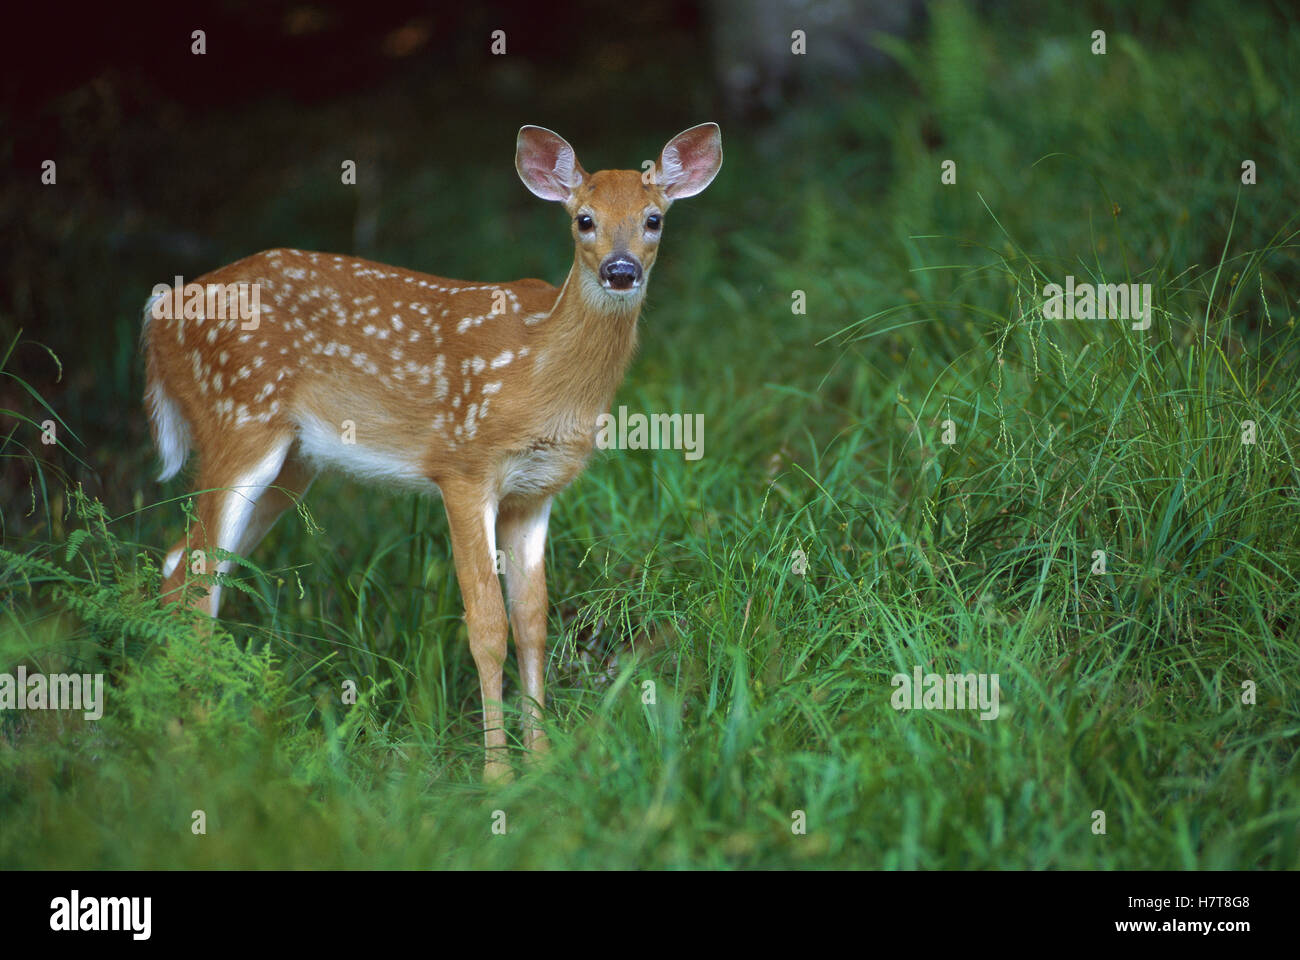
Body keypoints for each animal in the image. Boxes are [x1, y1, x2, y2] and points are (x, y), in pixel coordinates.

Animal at [141, 123, 722, 781]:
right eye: (584, 220)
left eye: (654, 219)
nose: (620, 270)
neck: (539, 369)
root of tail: (157, 314)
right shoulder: (464, 467)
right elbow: (487, 625)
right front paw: (498, 776)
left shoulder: (535, 491)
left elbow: (532, 622)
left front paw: (542, 762)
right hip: (237, 420)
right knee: (192, 574)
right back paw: (191, 739)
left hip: (292, 463)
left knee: (189, 565)